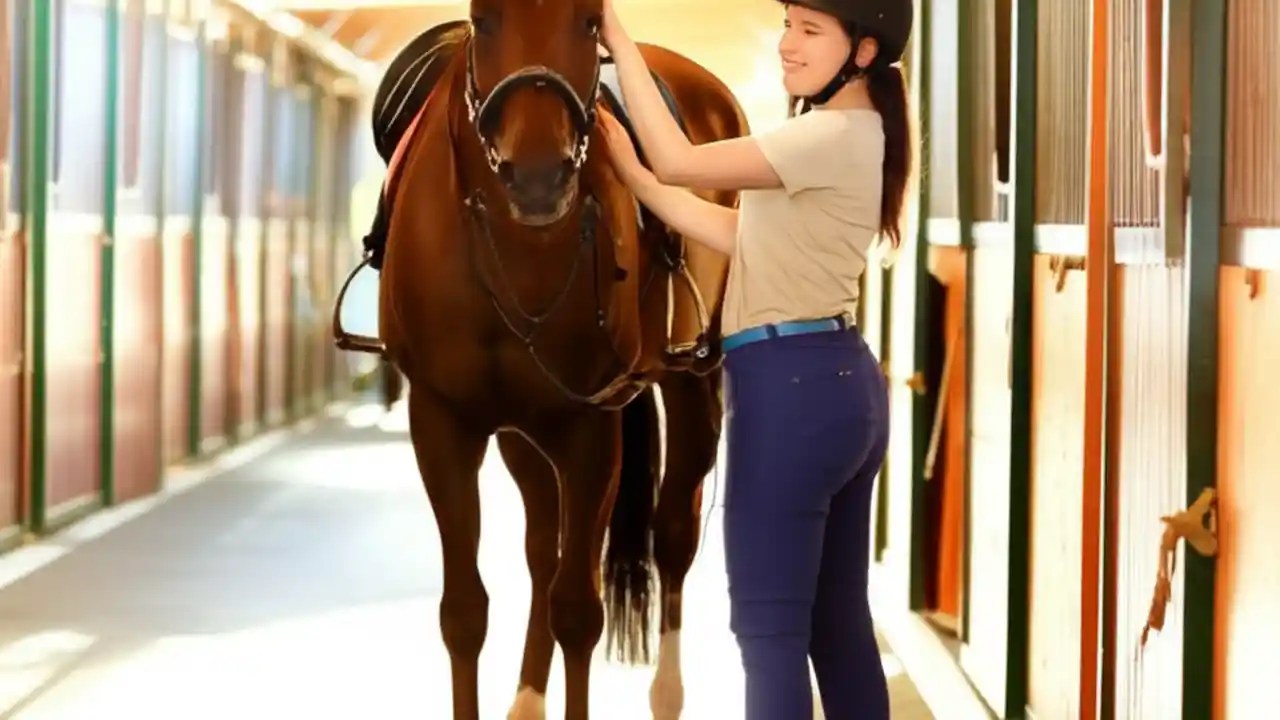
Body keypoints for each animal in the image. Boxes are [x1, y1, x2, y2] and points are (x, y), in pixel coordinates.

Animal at [339, 4, 749, 717]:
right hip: (523, 433)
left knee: (672, 531)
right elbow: (464, 612)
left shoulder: (589, 427)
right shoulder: (443, 423)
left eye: (589, 22)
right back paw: (528, 696)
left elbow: (578, 612)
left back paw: (666, 693)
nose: (537, 179)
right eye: (483, 18)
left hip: (690, 389)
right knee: (542, 545)